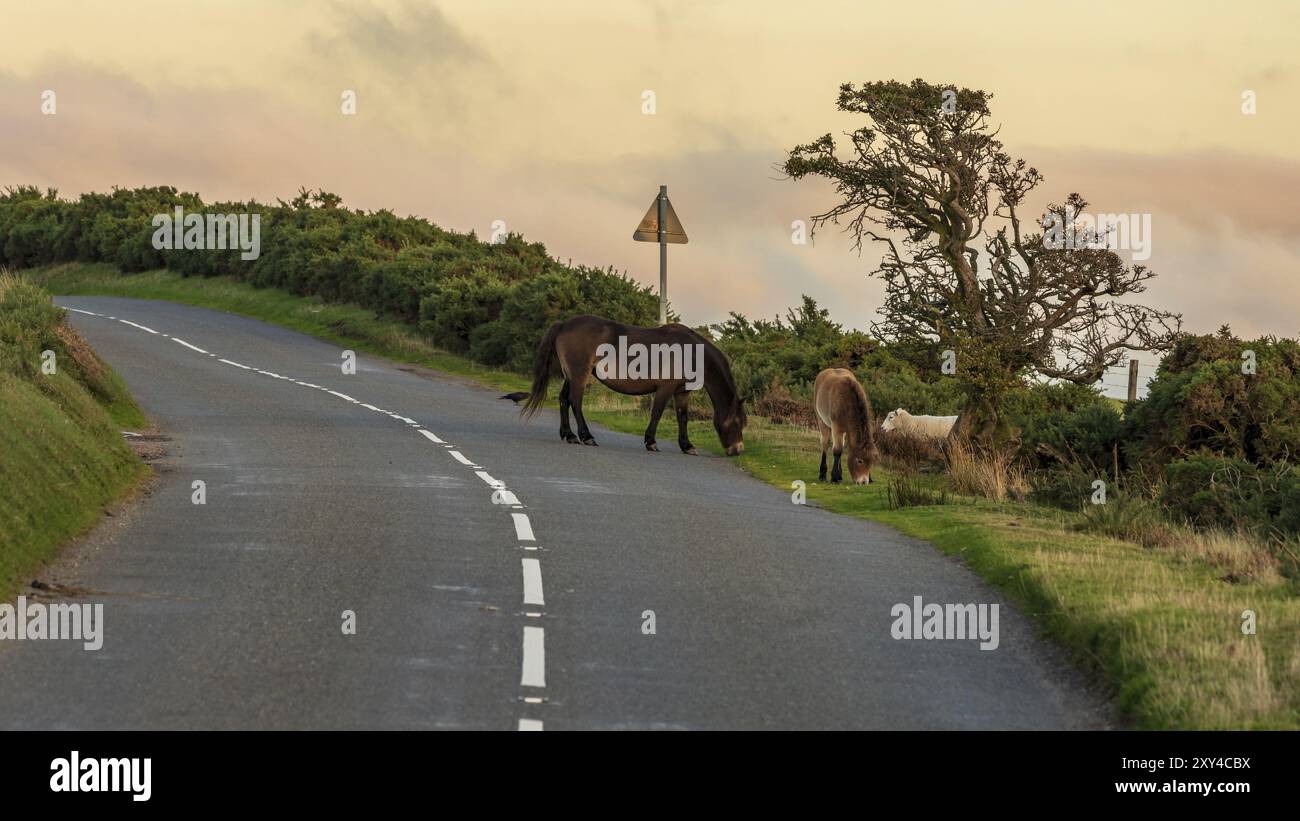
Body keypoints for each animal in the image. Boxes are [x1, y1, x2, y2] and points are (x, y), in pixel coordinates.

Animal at [520, 315, 747, 455]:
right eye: (736, 423)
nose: (737, 450)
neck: (691, 352)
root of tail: (565, 324)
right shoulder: (665, 389)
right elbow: (657, 413)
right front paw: (651, 442)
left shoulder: (682, 392)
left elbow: (683, 418)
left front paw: (687, 446)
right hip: (579, 376)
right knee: (575, 401)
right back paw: (586, 436)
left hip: (570, 376)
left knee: (563, 400)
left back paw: (569, 435)